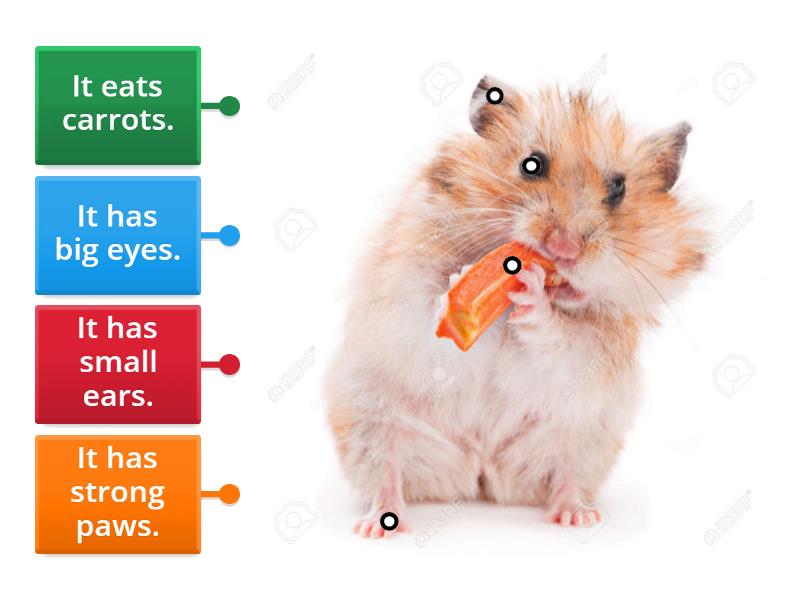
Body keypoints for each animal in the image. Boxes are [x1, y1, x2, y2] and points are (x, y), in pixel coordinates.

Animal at [325, 75, 709, 538]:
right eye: (532, 164)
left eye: (618, 189)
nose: (562, 249)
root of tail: (480, 471)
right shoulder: (399, 296)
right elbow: (430, 310)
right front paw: (462, 285)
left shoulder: (597, 346)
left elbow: (559, 336)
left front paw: (532, 294)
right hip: (367, 420)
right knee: (387, 474)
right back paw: (378, 525)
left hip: (587, 438)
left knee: (565, 478)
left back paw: (578, 515)